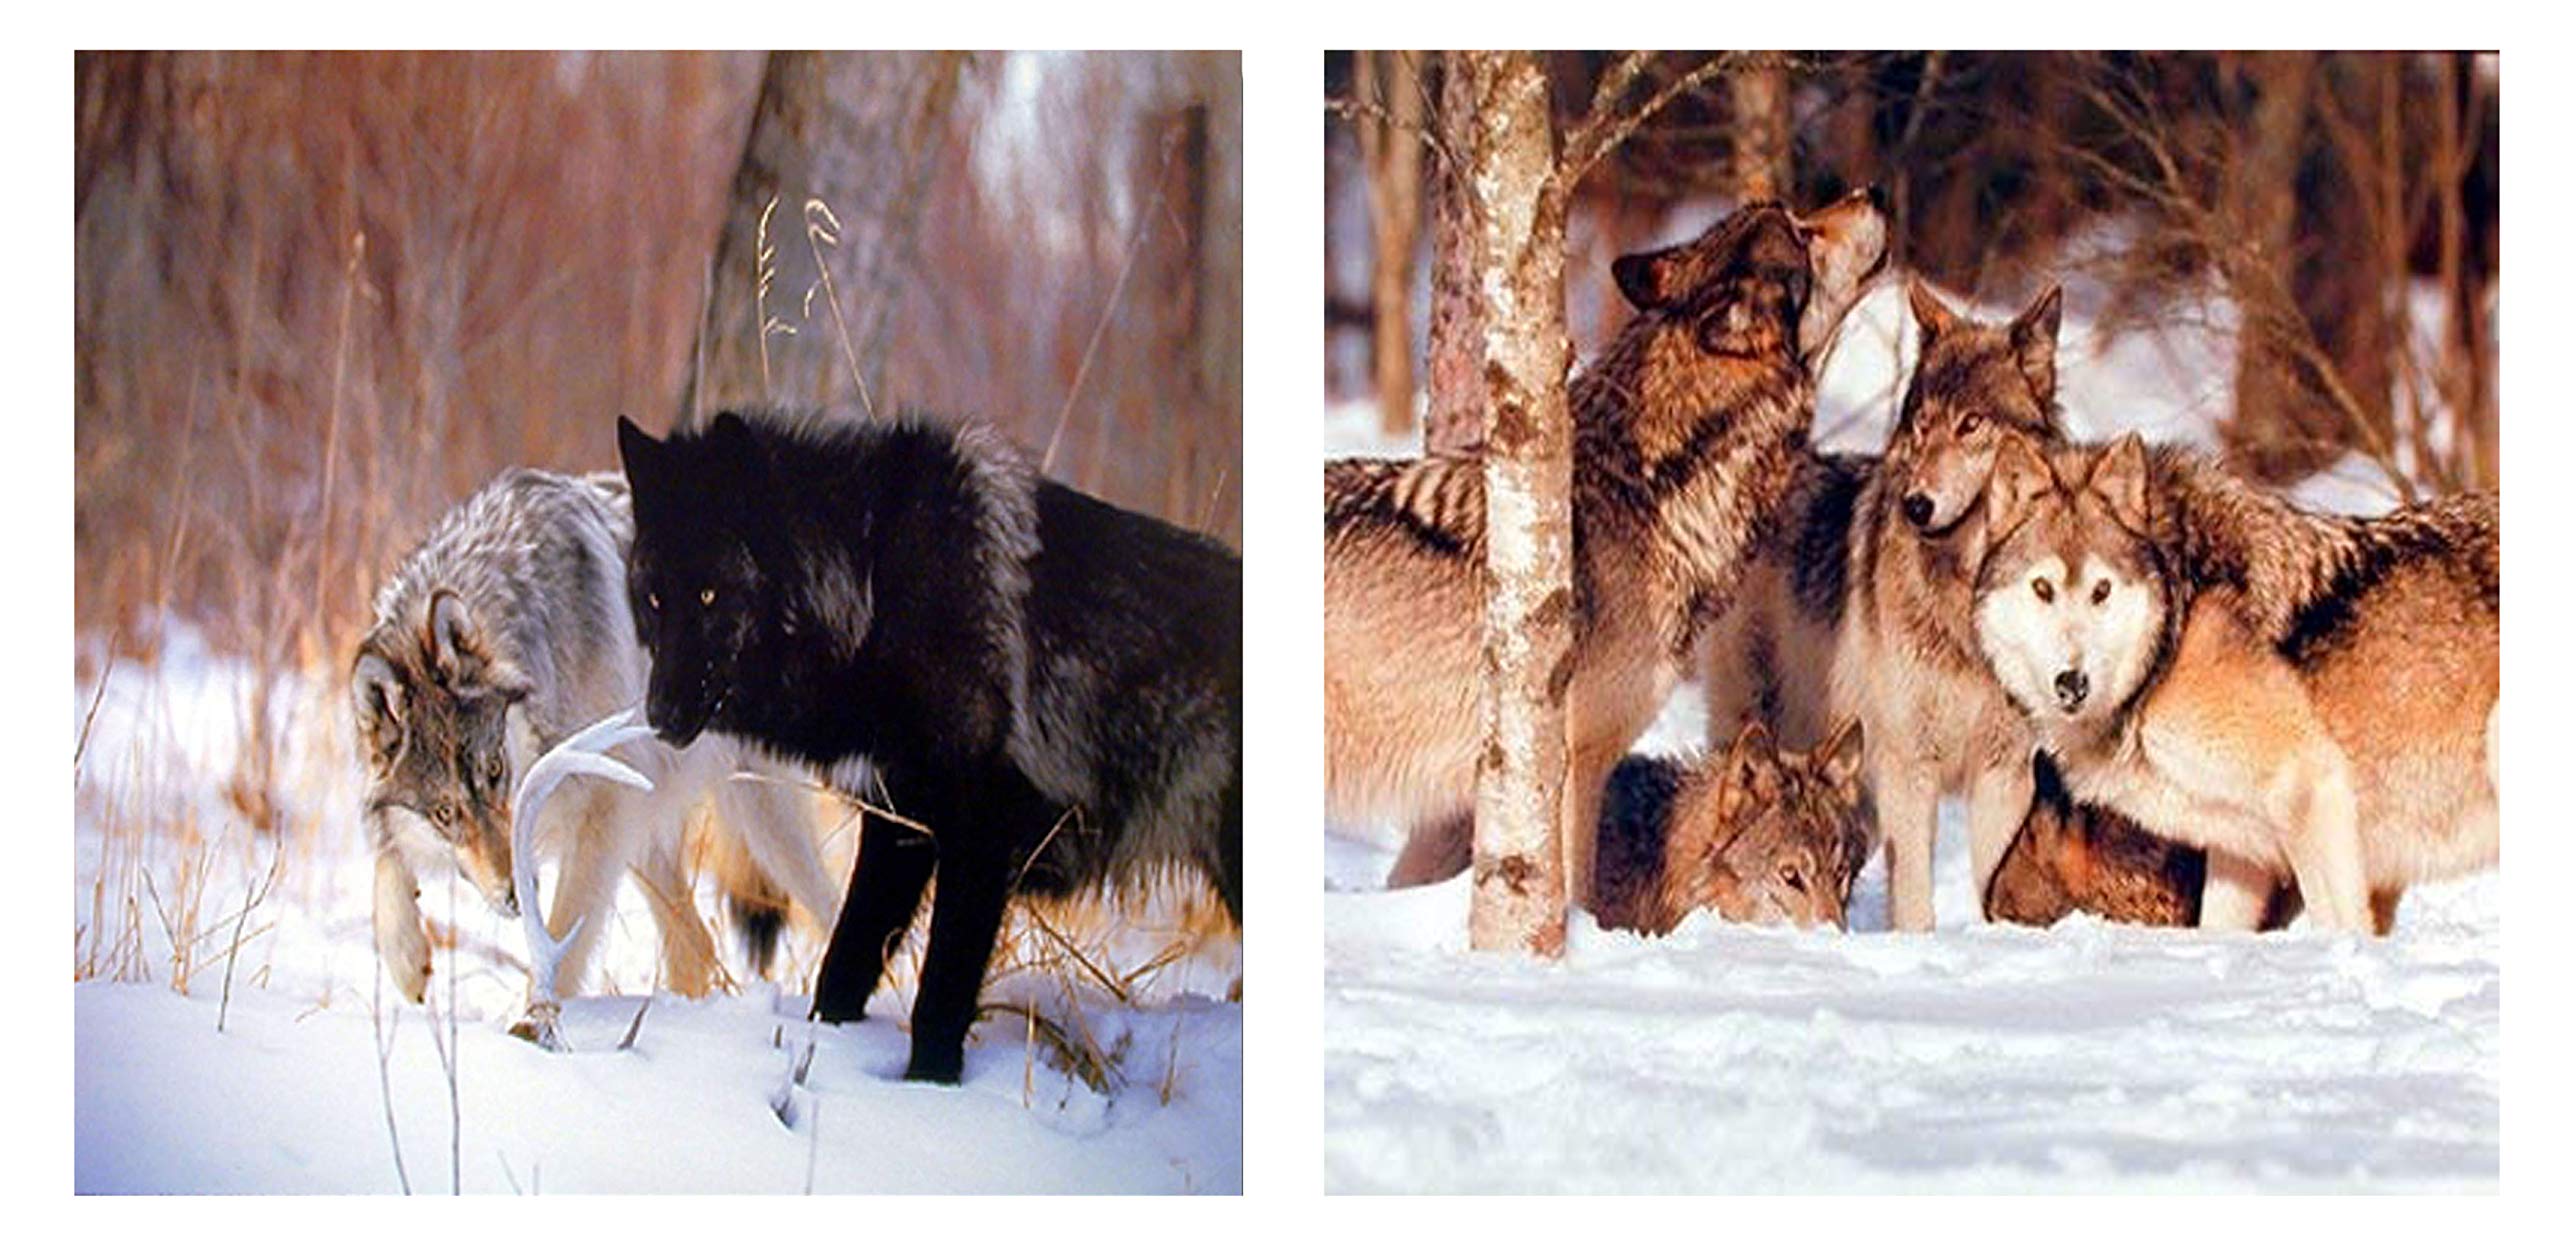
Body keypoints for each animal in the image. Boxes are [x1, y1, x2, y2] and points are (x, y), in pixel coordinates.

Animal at [352, 469, 842, 1006]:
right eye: (444, 813)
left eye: (496, 769)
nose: (512, 896)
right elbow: (386, 858)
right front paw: (406, 959)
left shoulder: (603, 810)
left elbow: (563, 942)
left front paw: (535, 1020)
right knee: (697, 947)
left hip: (763, 827)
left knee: (833, 910)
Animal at [615, 410, 1242, 1084]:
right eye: (654, 598)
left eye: (709, 595)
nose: (659, 715)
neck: (876, 577)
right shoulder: (898, 830)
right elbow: (845, 962)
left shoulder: (977, 837)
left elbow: (940, 993)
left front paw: (931, 1086)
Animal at [1970, 432, 2499, 934]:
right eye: (2043, 588)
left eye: (2102, 590)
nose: (2072, 683)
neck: (2175, 633)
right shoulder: (2241, 850)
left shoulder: (2309, 789)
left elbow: (2339, 924)